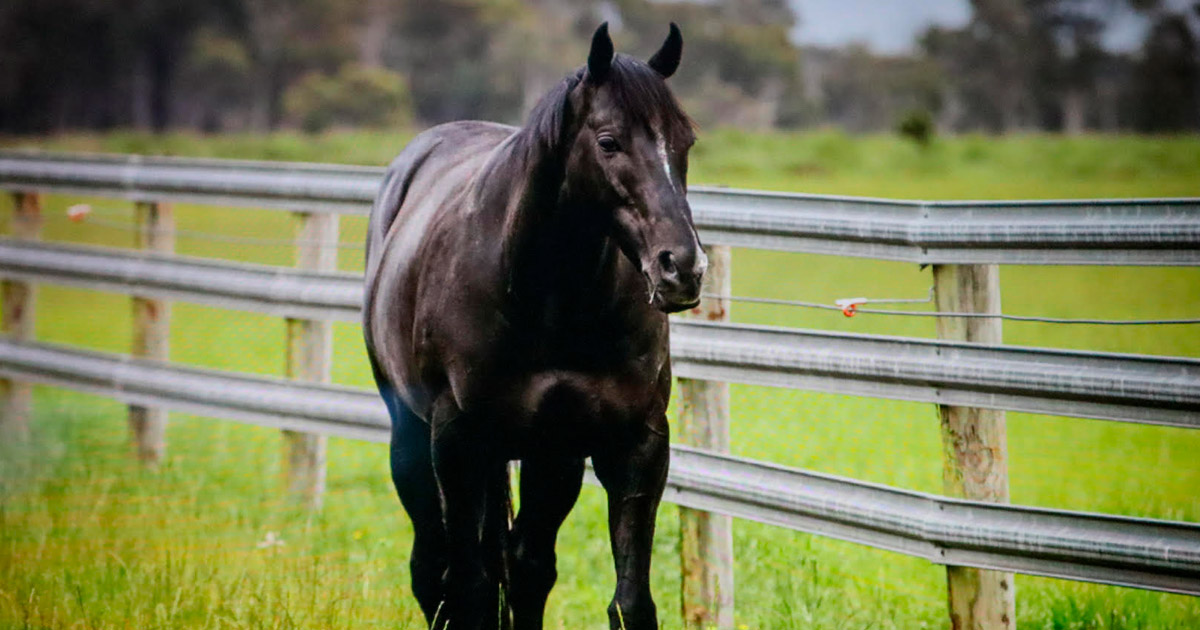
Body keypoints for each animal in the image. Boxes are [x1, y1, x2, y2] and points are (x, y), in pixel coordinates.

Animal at [363, 22, 704, 630]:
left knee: (525, 567)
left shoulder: (635, 444)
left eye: (684, 142)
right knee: (433, 570)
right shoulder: (458, 443)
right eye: (609, 141)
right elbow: (469, 588)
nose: (682, 268)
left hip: (551, 457)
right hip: (412, 441)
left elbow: (629, 602)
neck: (547, 304)